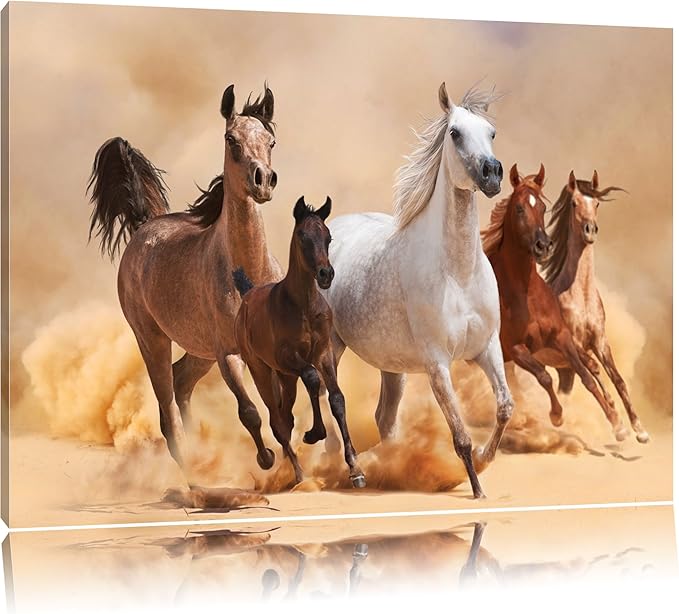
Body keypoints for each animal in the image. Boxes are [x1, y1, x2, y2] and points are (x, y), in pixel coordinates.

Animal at [87, 84, 282, 472]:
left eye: (270, 140)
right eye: (231, 139)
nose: (263, 181)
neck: (248, 274)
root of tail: (144, 226)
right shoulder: (228, 355)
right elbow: (250, 411)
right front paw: (267, 459)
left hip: (198, 351)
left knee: (181, 382)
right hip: (153, 340)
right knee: (168, 409)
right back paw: (192, 467)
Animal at [232, 197, 366, 488]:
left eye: (328, 237)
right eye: (303, 235)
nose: (326, 274)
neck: (303, 306)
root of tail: (247, 294)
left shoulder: (324, 352)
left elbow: (337, 398)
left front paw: (356, 469)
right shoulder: (289, 357)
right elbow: (313, 379)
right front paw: (314, 433)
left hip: (285, 378)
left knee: (286, 416)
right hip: (262, 370)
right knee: (277, 421)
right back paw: (295, 472)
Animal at [322, 82, 512, 499]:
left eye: (492, 132)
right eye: (455, 133)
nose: (492, 174)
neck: (458, 274)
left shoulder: (487, 347)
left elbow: (505, 407)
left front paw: (485, 460)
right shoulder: (437, 362)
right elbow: (459, 434)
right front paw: (476, 489)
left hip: (391, 366)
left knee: (384, 418)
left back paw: (390, 468)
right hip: (330, 347)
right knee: (330, 401)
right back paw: (349, 469)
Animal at [481, 164, 628, 441]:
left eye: (542, 207)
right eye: (519, 208)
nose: (543, 246)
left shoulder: (567, 338)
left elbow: (590, 376)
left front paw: (620, 423)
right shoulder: (516, 349)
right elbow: (544, 376)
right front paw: (556, 416)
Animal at [542, 170, 649, 443]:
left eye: (598, 203)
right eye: (573, 203)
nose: (590, 230)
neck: (581, 296)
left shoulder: (600, 340)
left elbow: (618, 379)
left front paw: (639, 429)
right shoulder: (574, 343)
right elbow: (594, 371)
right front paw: (618, 423)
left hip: (563, 370)